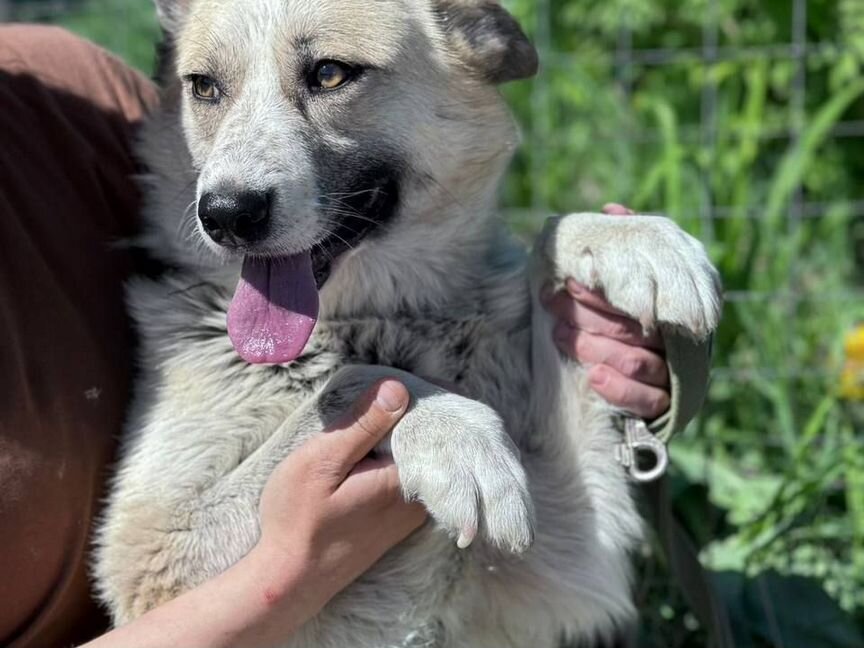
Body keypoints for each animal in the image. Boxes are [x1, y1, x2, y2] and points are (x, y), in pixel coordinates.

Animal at [91, 2, 724, 644]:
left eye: (329, 74)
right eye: (204, 87)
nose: (226, 215)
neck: (375, 318)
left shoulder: (571, 557)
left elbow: (548, 233)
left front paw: (632, 242)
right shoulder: (150, 553)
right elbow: (358, 378)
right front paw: (457, 433)